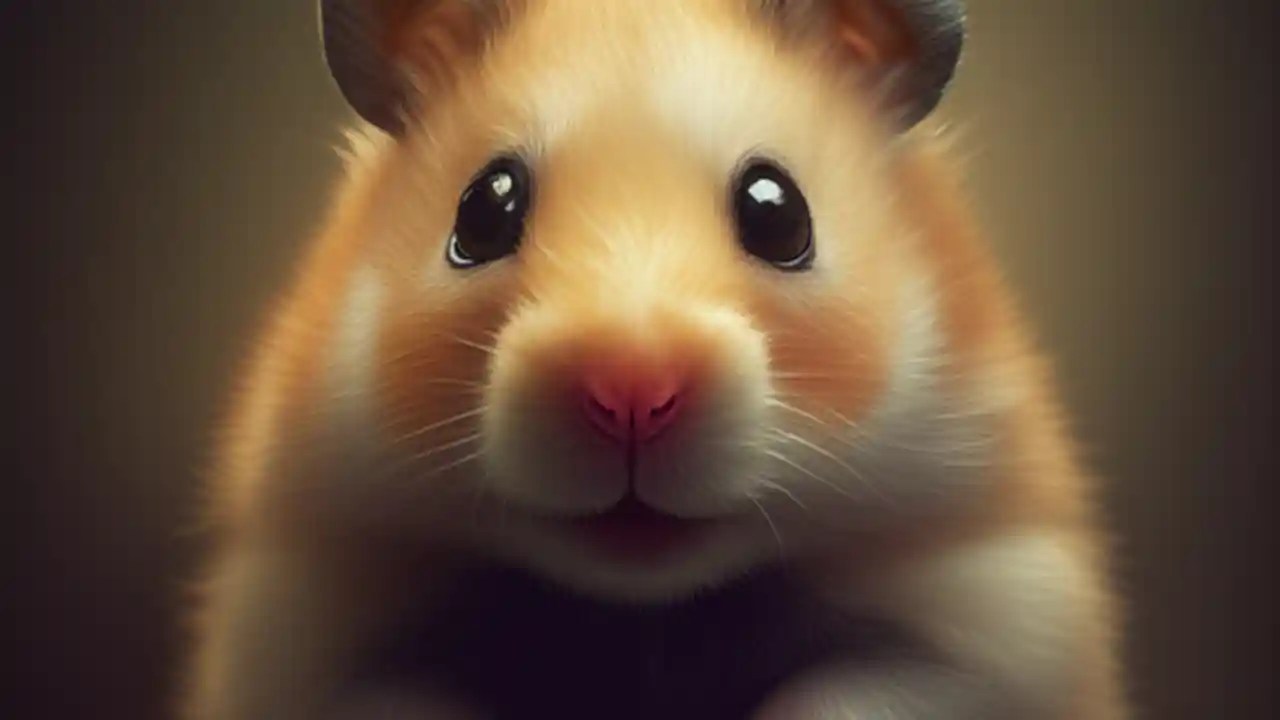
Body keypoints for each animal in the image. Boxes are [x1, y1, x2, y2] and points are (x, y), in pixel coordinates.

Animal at [184, 1, 1128, 718]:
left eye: (778, 212)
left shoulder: (999, 604)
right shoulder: (303, 617)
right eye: (484, 211)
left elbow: (856, 689)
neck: (645, 611)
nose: (629, 392)